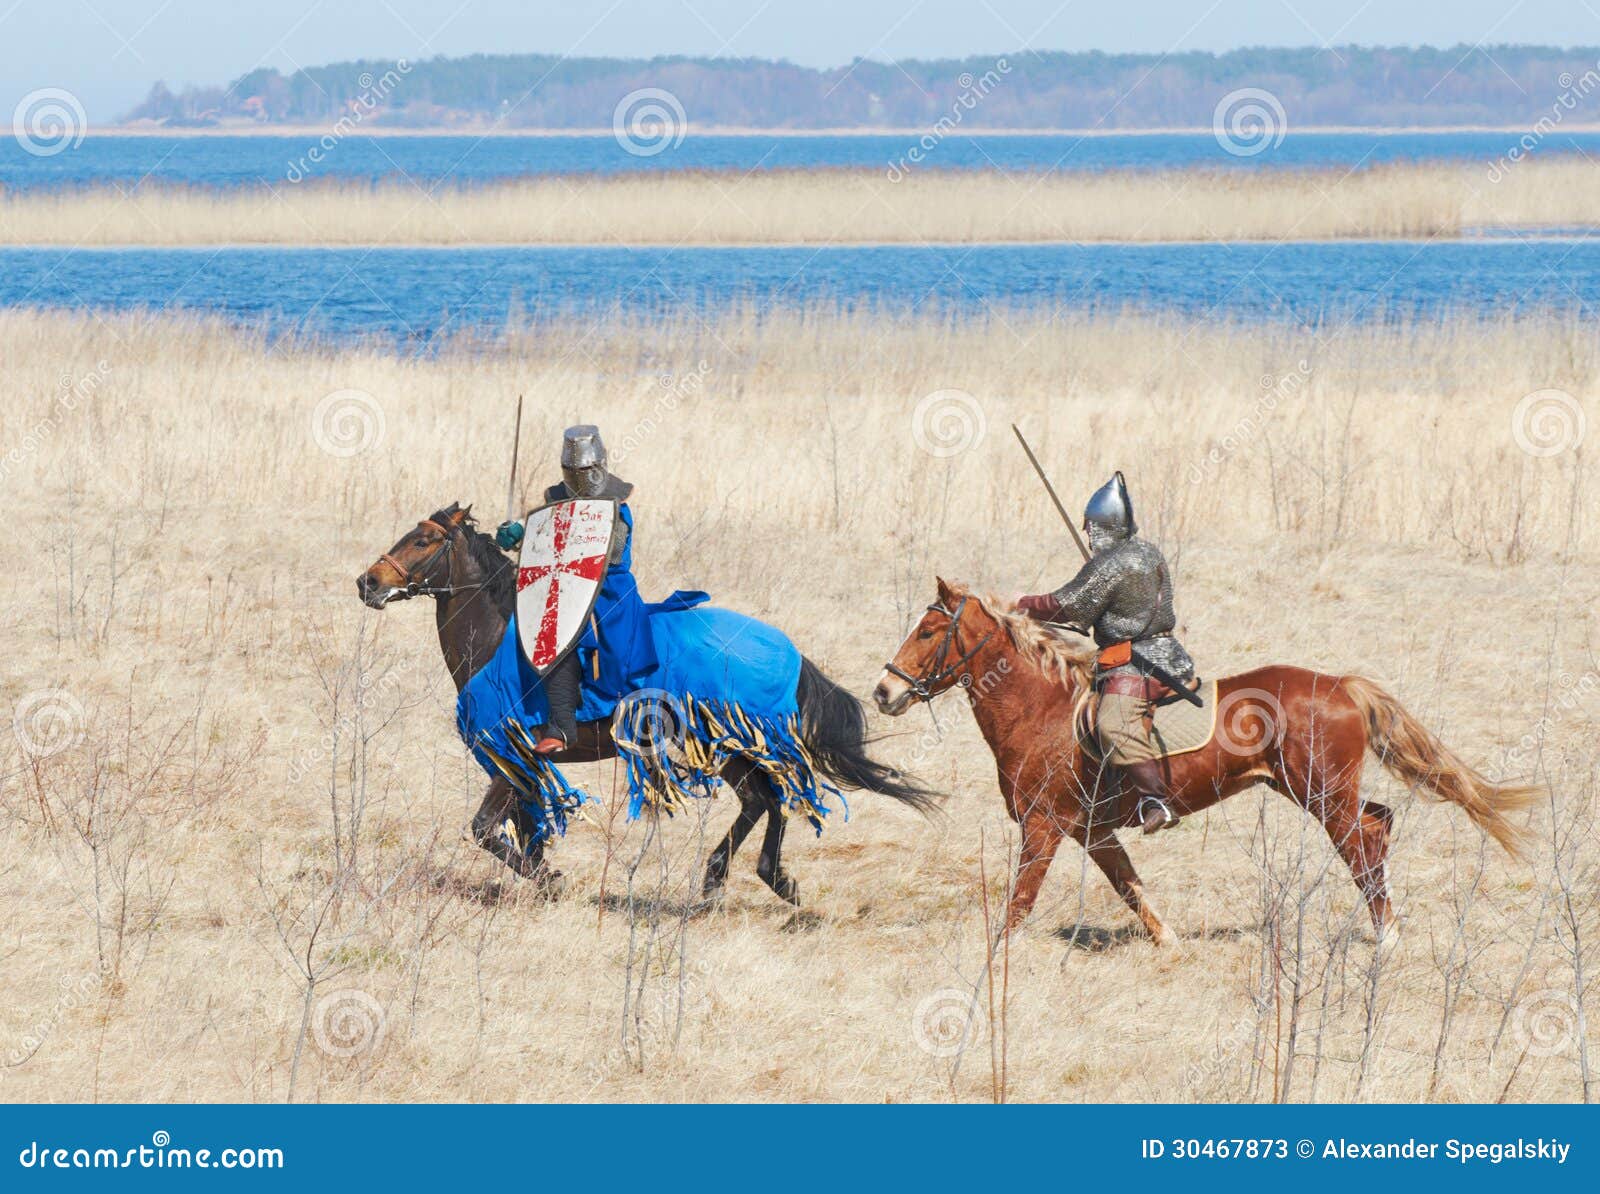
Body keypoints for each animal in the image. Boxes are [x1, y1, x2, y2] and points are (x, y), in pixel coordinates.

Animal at [356, 503, 938, 903]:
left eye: (422, 541)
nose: (367, 582)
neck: (506, 641)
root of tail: (789, 650)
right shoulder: (522, 763)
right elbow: (526, 823)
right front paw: (546, 877)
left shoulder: (513, 754)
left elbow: (484, 829)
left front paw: (548, 879)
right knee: (763, 800)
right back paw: (737, 879)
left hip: (732, 742)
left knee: (772, 797)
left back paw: (756, 878)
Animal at [872, 578, 1537, 946]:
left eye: (929, 630)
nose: (883, 692)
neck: (1044, 709)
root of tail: (1342, 685)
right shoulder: (1094, 834)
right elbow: (1131, 889)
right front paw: (1170, 943)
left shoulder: (1043, 828)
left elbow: (1018, 903)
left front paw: (996, 960)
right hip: (1312, 791)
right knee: (1379, 821)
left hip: (1322, 797)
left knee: (1362, 839)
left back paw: (1388, 937)